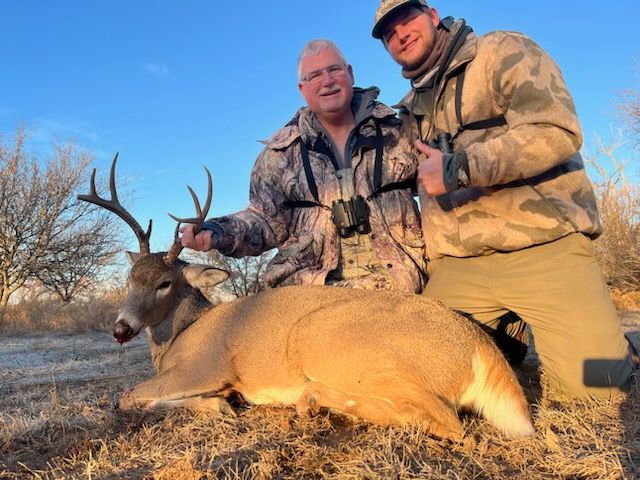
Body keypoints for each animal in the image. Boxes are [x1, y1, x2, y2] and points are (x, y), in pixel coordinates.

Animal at [77, 154, 535, 442]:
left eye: (164, 283)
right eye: (130, 277)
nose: (121, 328)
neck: (180, 335)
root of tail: (478, 344)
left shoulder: (204, 367)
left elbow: (128, 397)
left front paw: (219, 404)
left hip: (324, 339)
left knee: (447, 421)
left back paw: (316, 400)